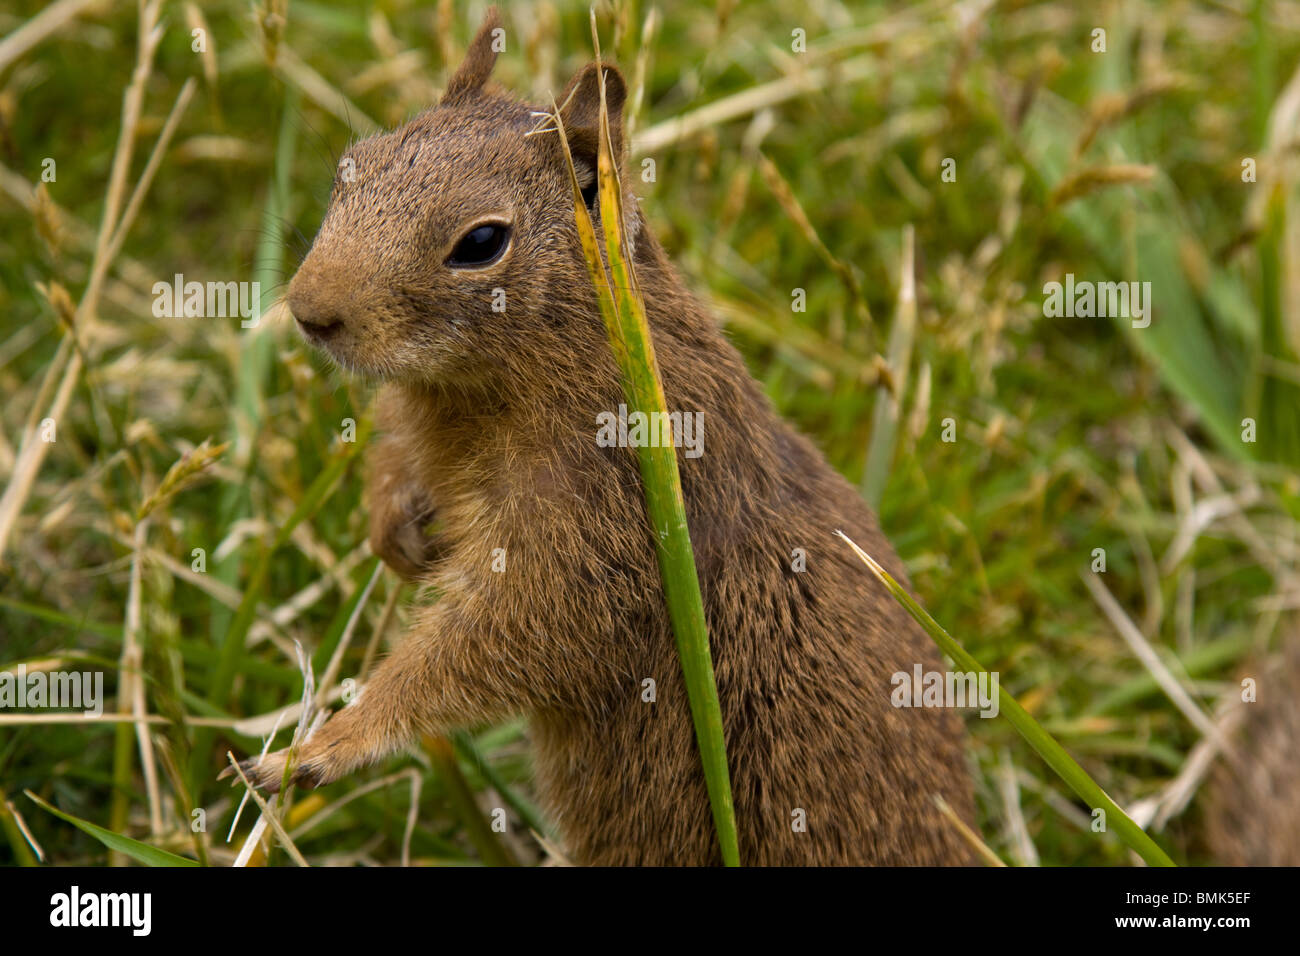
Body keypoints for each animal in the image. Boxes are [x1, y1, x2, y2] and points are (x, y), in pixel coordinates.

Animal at [229, 8, 976, 866]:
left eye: (481, 242)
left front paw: (320, 747)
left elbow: (490, 646)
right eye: (353, 166)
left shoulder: (593, 541)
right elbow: (395, 462)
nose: (310, 312)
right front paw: (393, 532)